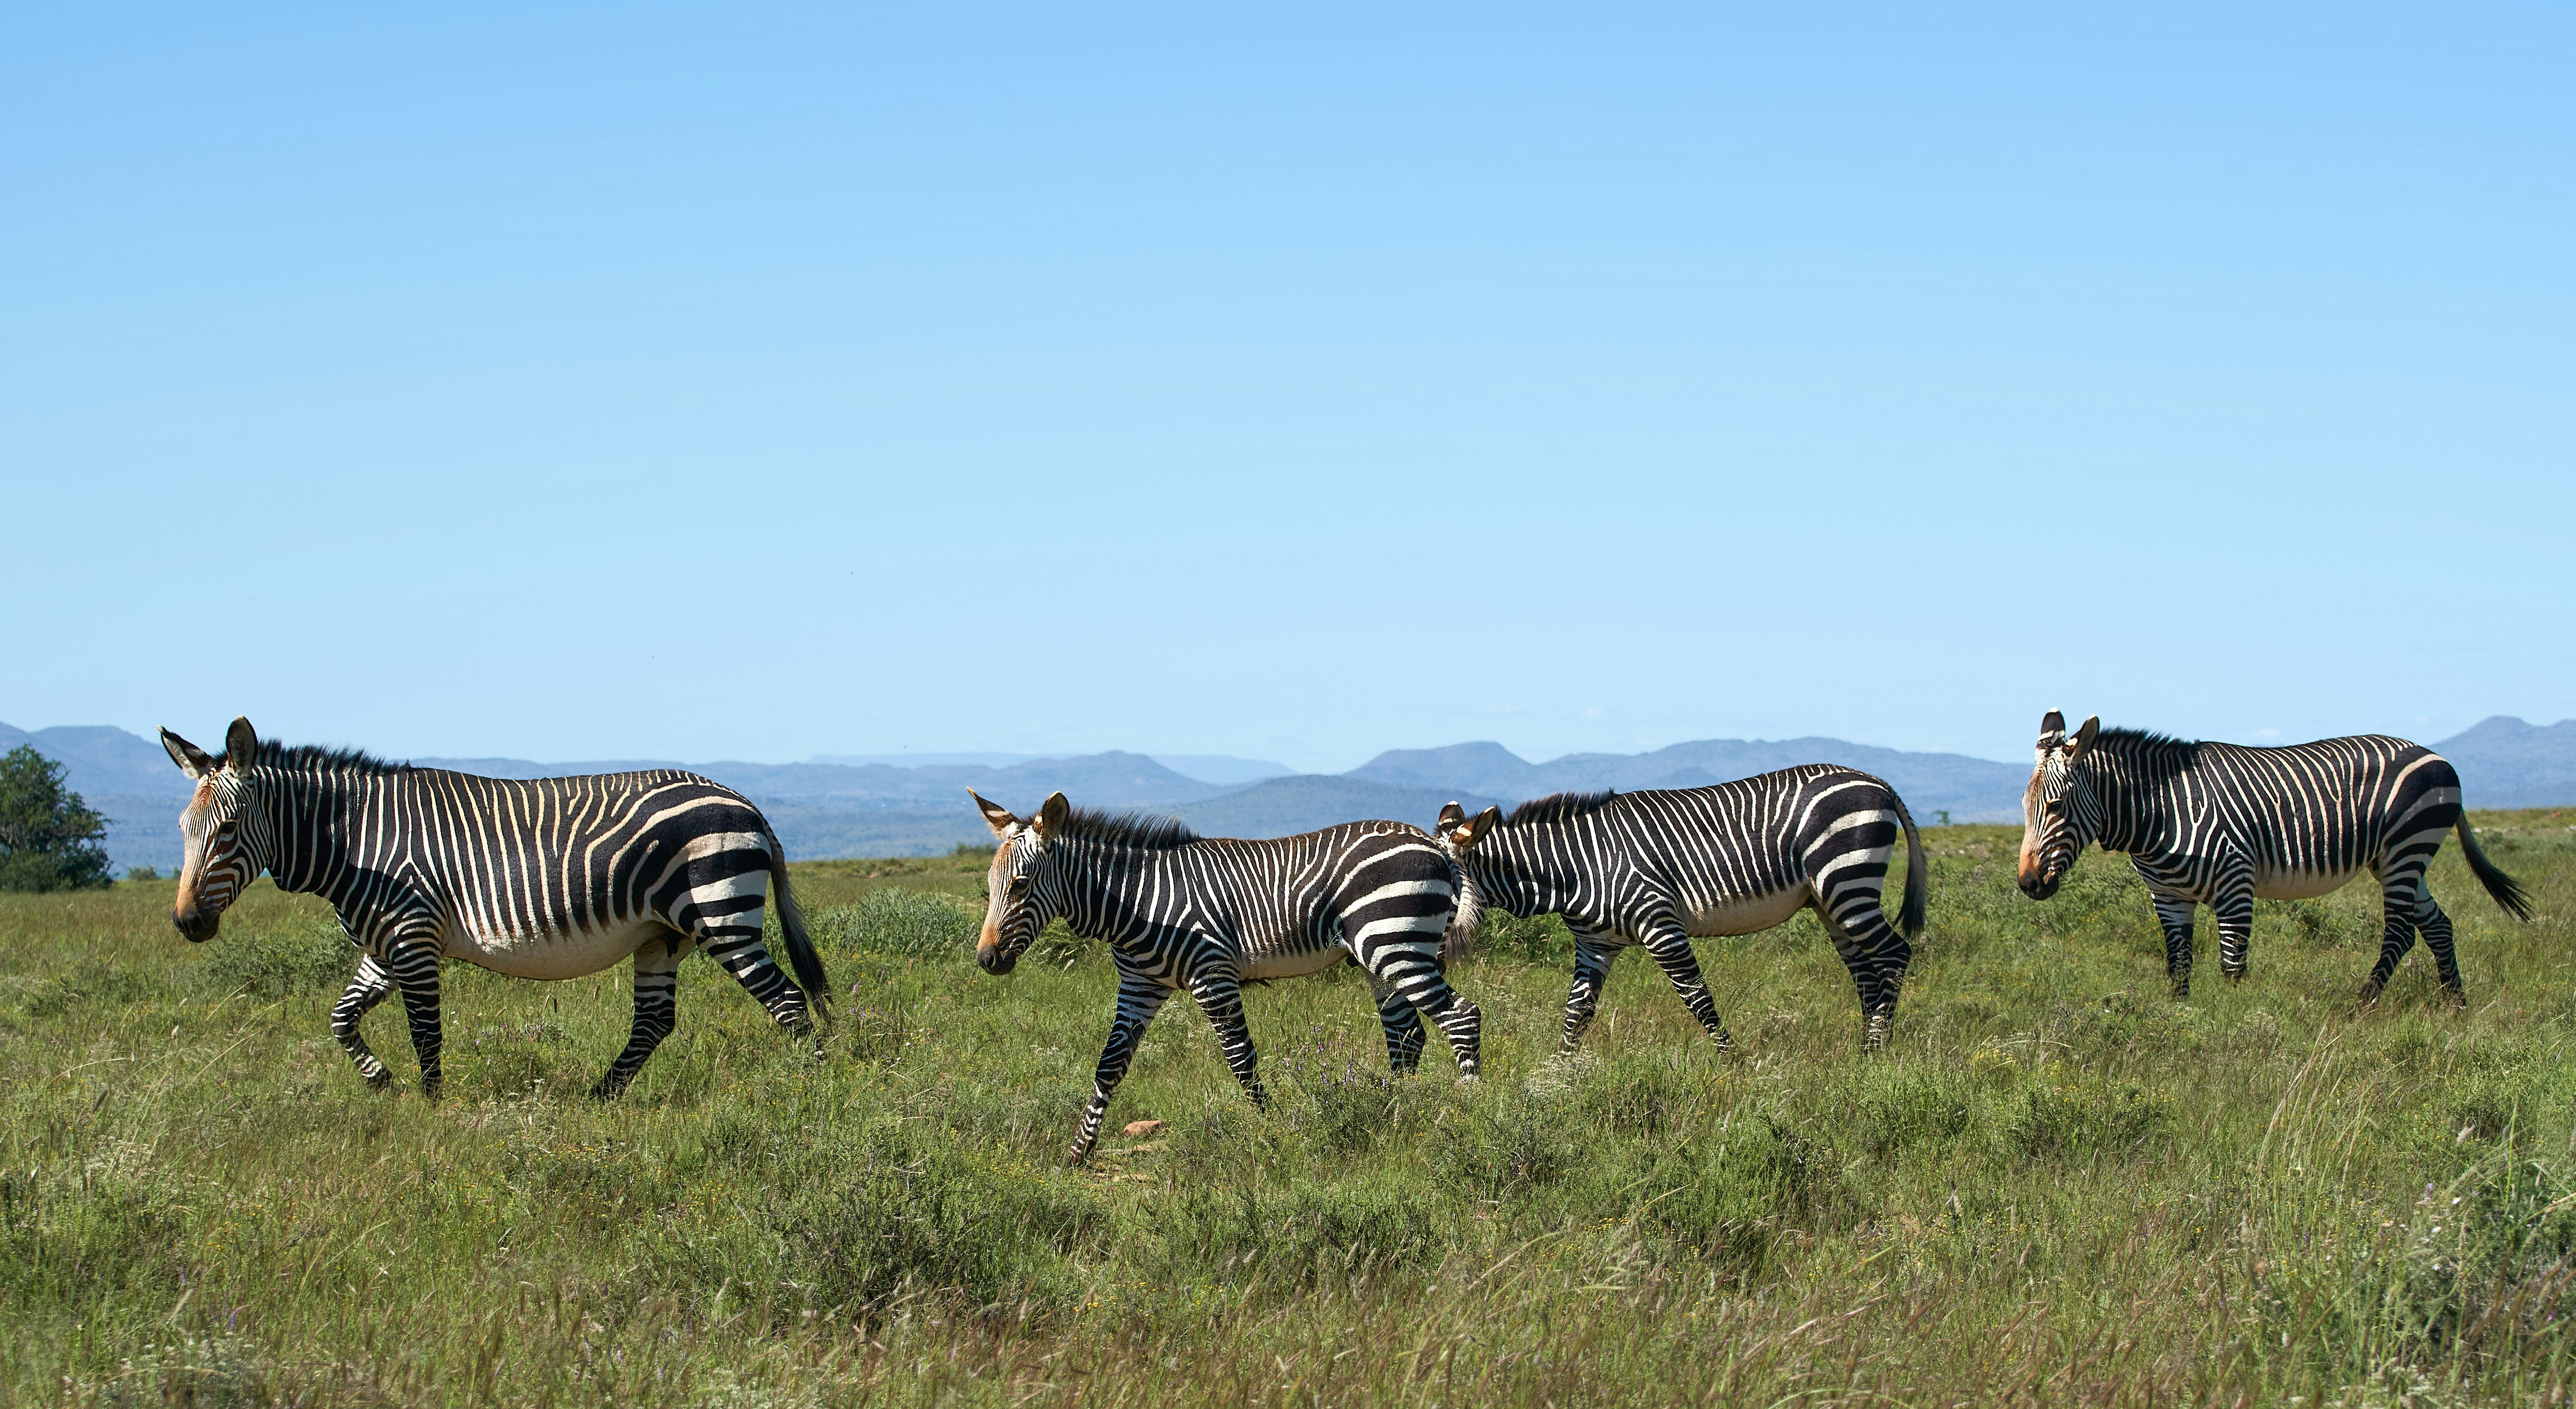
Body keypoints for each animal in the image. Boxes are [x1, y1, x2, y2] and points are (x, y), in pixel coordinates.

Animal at [159, 716, 829, 1097]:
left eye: (228, 831)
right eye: (184, 830)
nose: (187, 924)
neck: (356, 841)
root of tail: (745, 802)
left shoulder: (412, 935)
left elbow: (425, 1032)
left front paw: (431, 1109)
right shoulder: (385, 946)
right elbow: (341, 1019)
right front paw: (384, 1085)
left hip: (721, 915)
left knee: (789, 1002)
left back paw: (813, 1094)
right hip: (660, 936)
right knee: (654, 1021)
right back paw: (599, 1096)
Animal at [970, 789, 1480, 1164]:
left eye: (1021, 885)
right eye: (990, 886)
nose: (987, 960)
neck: (1136, 902)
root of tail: (1435, 845)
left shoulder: (1211, 975)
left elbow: (1241, 1060)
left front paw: (1273, 1131)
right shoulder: (1138, 987)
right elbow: (1108, 1066)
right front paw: (1076, 1153)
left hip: (1395, 944)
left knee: (1462, 1017)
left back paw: (1467, 1114)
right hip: (1383, 954)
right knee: (1408, 1034)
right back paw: (1396, 1113)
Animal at [1437, 767, 1928, 1052]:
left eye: (1435, 887)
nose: (1430, 958)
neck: (1572, 868)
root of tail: (1875, 781)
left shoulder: (1661, 926)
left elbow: (1698, 999)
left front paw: (1733, 1065)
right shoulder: (1595, 945)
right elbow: (1576, 1013)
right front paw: (1559, 1079)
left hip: (1847, 881)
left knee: (1894, 953)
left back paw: (1878, 1052)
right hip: (1830, 901)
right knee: (1865, 972)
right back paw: (1862, 1053)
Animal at [2016, 710, 2531, 1002]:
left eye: (2056, 807)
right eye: (2023, 806)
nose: (2028, 884)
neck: (2160, 811)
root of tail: (2438, 757)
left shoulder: (2234, 883)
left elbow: (2232, 966)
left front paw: (2235, 1030)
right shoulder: (2167, 896)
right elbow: (2177, 966)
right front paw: (2179, 1020)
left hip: (2407, 846)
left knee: (2402, 931)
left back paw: (2361, 1004)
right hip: (2394, 858)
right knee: (2438, 925)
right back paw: (2454, 1005)